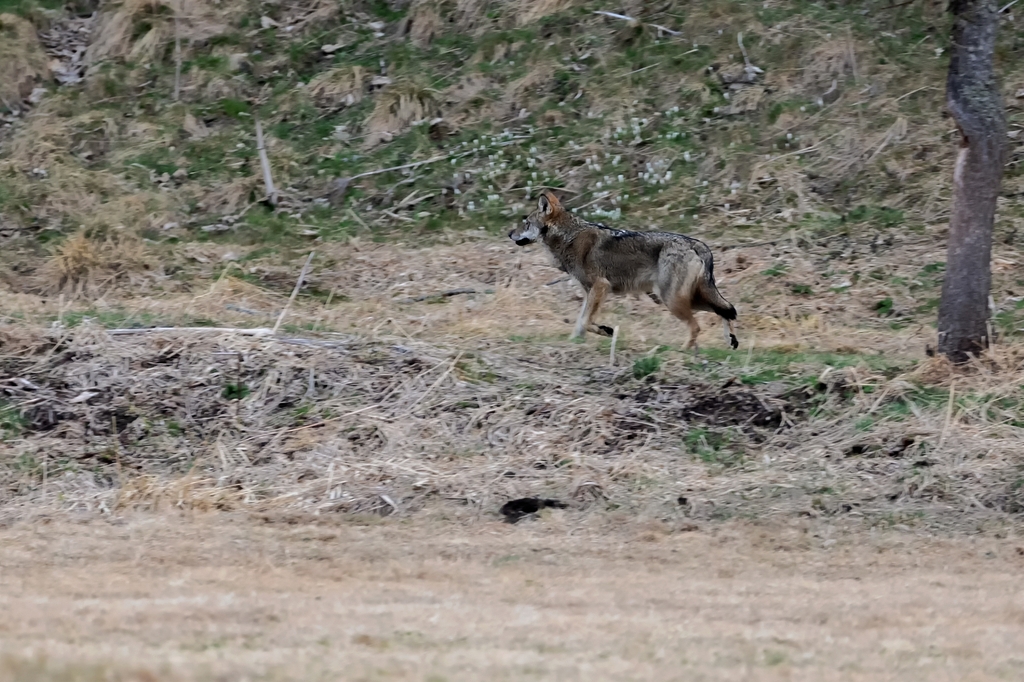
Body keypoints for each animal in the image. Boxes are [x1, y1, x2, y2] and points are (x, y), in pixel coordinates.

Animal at [509, 190, 738, 353]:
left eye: (526, 223)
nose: (509, 233)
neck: (569, 237)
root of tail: (697, 244)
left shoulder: (600, 286)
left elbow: (586, 321)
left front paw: (605, 331)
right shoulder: (589, 291)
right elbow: (581, 321)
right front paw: (574, 341)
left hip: (671, 299)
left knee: (698, 326)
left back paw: (681, 351)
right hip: (686, 299)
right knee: (726, 310)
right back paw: (731, 340)